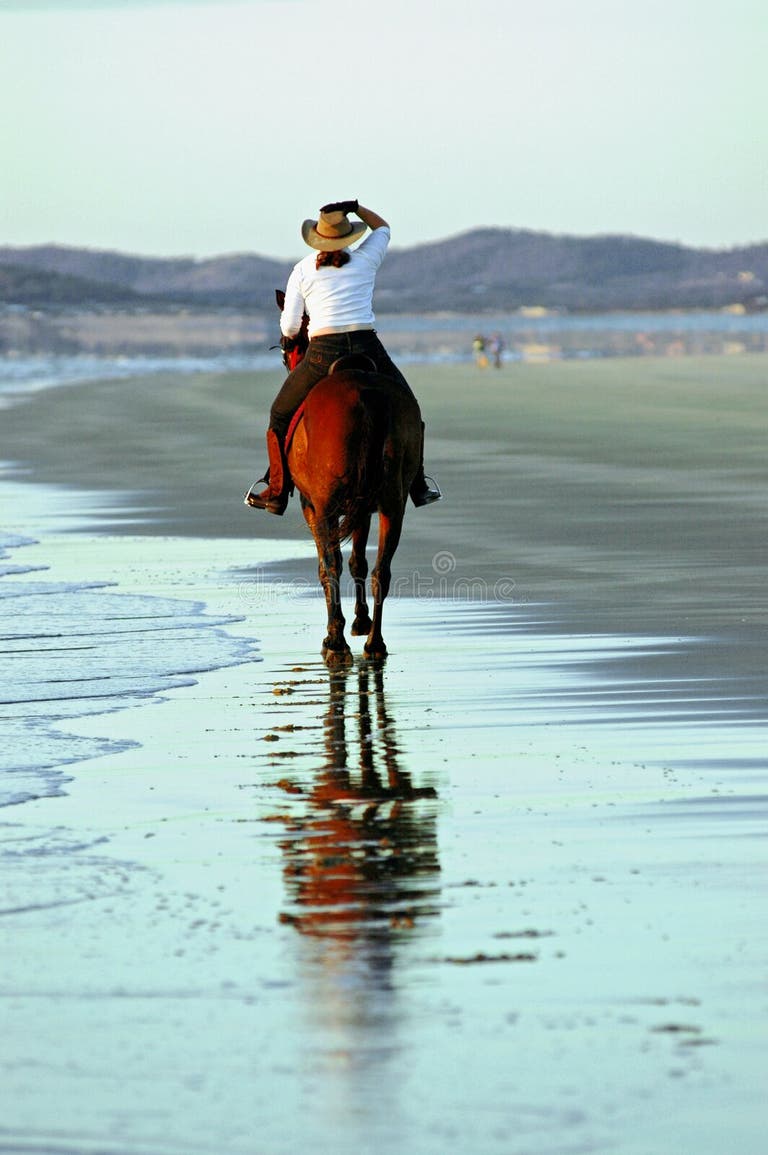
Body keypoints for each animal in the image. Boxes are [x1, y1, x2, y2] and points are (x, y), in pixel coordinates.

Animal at [275, 292, 422, 664]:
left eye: (286, 343)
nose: (290, 360)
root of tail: (362, 393)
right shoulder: (364, 509)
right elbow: (358, 560)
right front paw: (360, 621)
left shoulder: (312, 506)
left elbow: (329, 565)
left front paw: (340, 630)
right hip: (392, 504)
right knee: (381, 571)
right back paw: (374, 642)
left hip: (327, 505)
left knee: (332, 565)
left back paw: (336, 643)